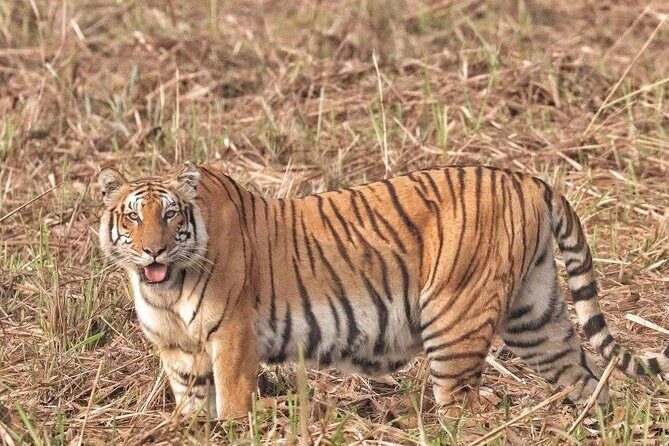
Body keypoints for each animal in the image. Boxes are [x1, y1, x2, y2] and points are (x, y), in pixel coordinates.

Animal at [97, 161, 668, 419]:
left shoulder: (233, 339)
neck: (166, 291)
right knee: (588, 377)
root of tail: (527, 178)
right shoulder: (179, 353)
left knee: (461, 408)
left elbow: (233, 406)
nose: (153, 252)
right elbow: (192, 409)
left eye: (172, 216)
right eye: (134, 216)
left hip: (455, 321)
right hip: (535, 318)